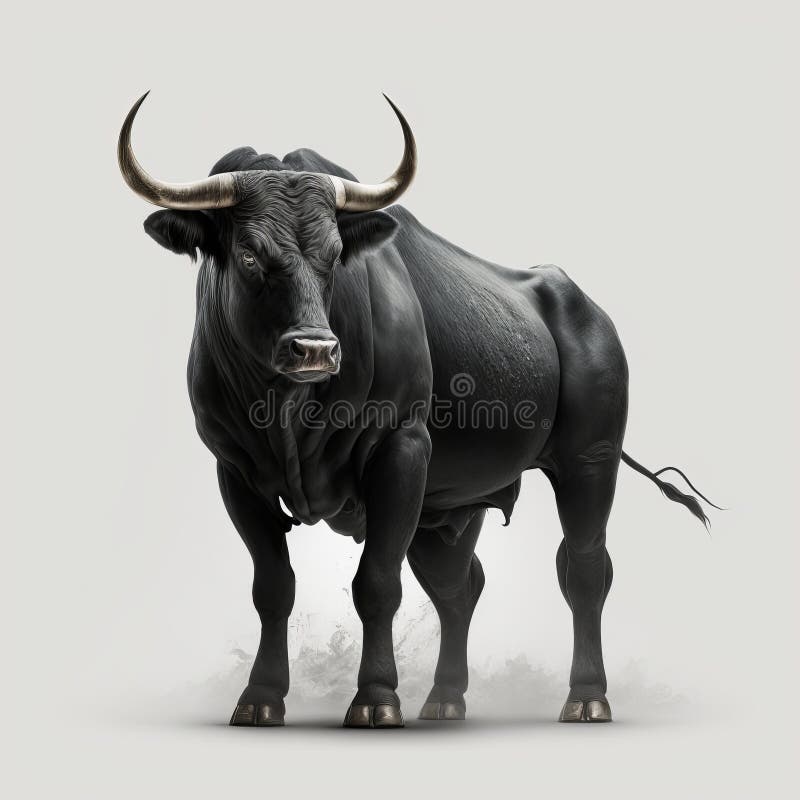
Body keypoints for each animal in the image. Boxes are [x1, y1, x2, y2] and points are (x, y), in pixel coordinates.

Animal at [118, 92, 716, 727]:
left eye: (336, 256)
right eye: (249, 256)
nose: (315, 350)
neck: (289, 416)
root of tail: (583, 307)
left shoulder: (400, 452)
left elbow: (377, 584)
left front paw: (376, 698)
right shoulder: (235, 470)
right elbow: (273, 586)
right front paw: (260, 697)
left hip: (589, 462)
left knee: (583, 570)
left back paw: (586, 697)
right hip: (447, 510)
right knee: (460, 587)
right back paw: (445, 697)